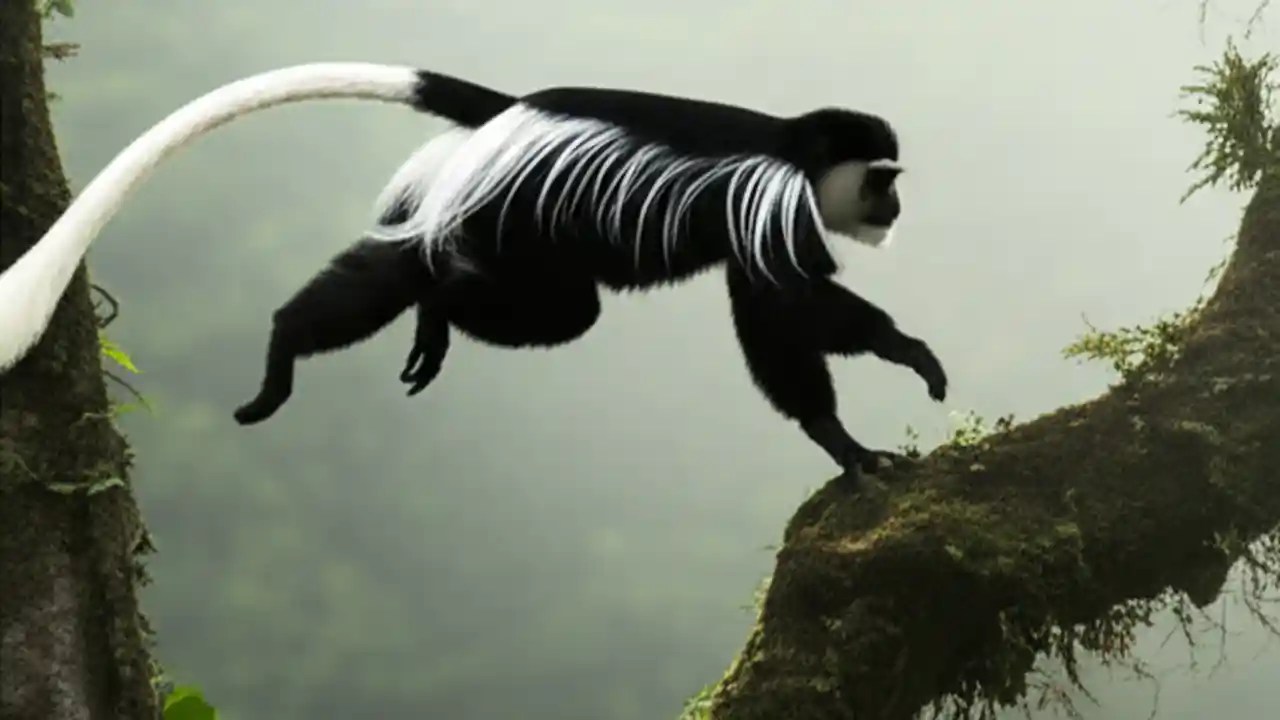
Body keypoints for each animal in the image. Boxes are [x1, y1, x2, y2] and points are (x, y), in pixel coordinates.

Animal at [0, 63, 947, 480]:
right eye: (882, 179)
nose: (898, 209)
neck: (795, 151)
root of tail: (512, 109)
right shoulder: (770, 208)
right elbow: (783, 312)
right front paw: (873, 413)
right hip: (522, 210)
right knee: (450, 279)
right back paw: (288, 351)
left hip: (513, 224)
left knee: (441, 271)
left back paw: (426, 323)